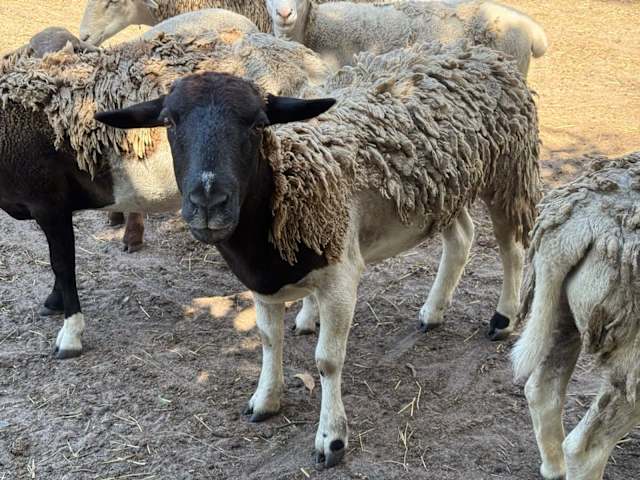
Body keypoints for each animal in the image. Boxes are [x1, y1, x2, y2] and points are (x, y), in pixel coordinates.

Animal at [0, 30, 330, 359]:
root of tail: (313, 63)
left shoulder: (49, 201)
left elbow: (63, 263)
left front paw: (70, 336)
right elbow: (58, 262)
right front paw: (54, 302)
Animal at [96, 40, 541, 467]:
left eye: (258, 124)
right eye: (169, 122)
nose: (209, 203)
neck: (292, 185)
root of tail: (480, 52)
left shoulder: (342, 278)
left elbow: (327, 360)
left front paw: (331, 439)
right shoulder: (261, 284)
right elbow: (267, 339)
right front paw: (265, 400)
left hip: (508, 169)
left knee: (511, 246)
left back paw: (502, 318)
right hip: (444, 187)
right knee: (461, 237)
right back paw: (433, 312)